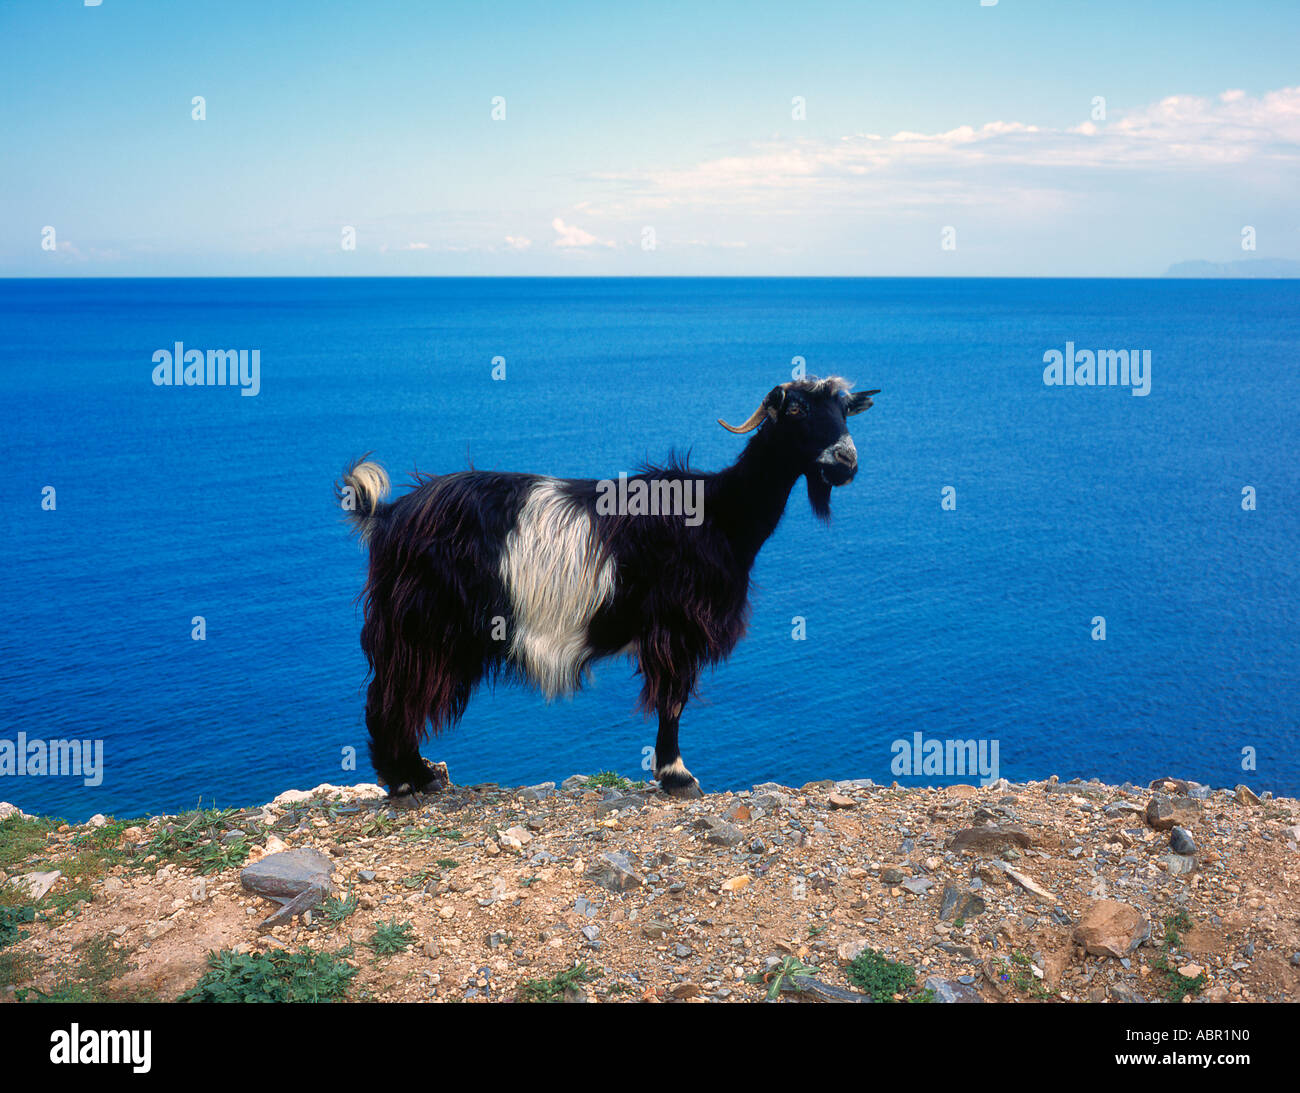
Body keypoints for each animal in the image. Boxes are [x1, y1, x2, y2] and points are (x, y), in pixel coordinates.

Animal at [336, 376, 879, 797]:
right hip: (420, 622)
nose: (846, 463)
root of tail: (388, 515)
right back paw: (405, 779)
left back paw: (418, 774)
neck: (719, 511)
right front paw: (677, 775)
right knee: (389, 695)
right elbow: (672, 701)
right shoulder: (675, 627)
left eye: (845, 410)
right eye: (796, 408)